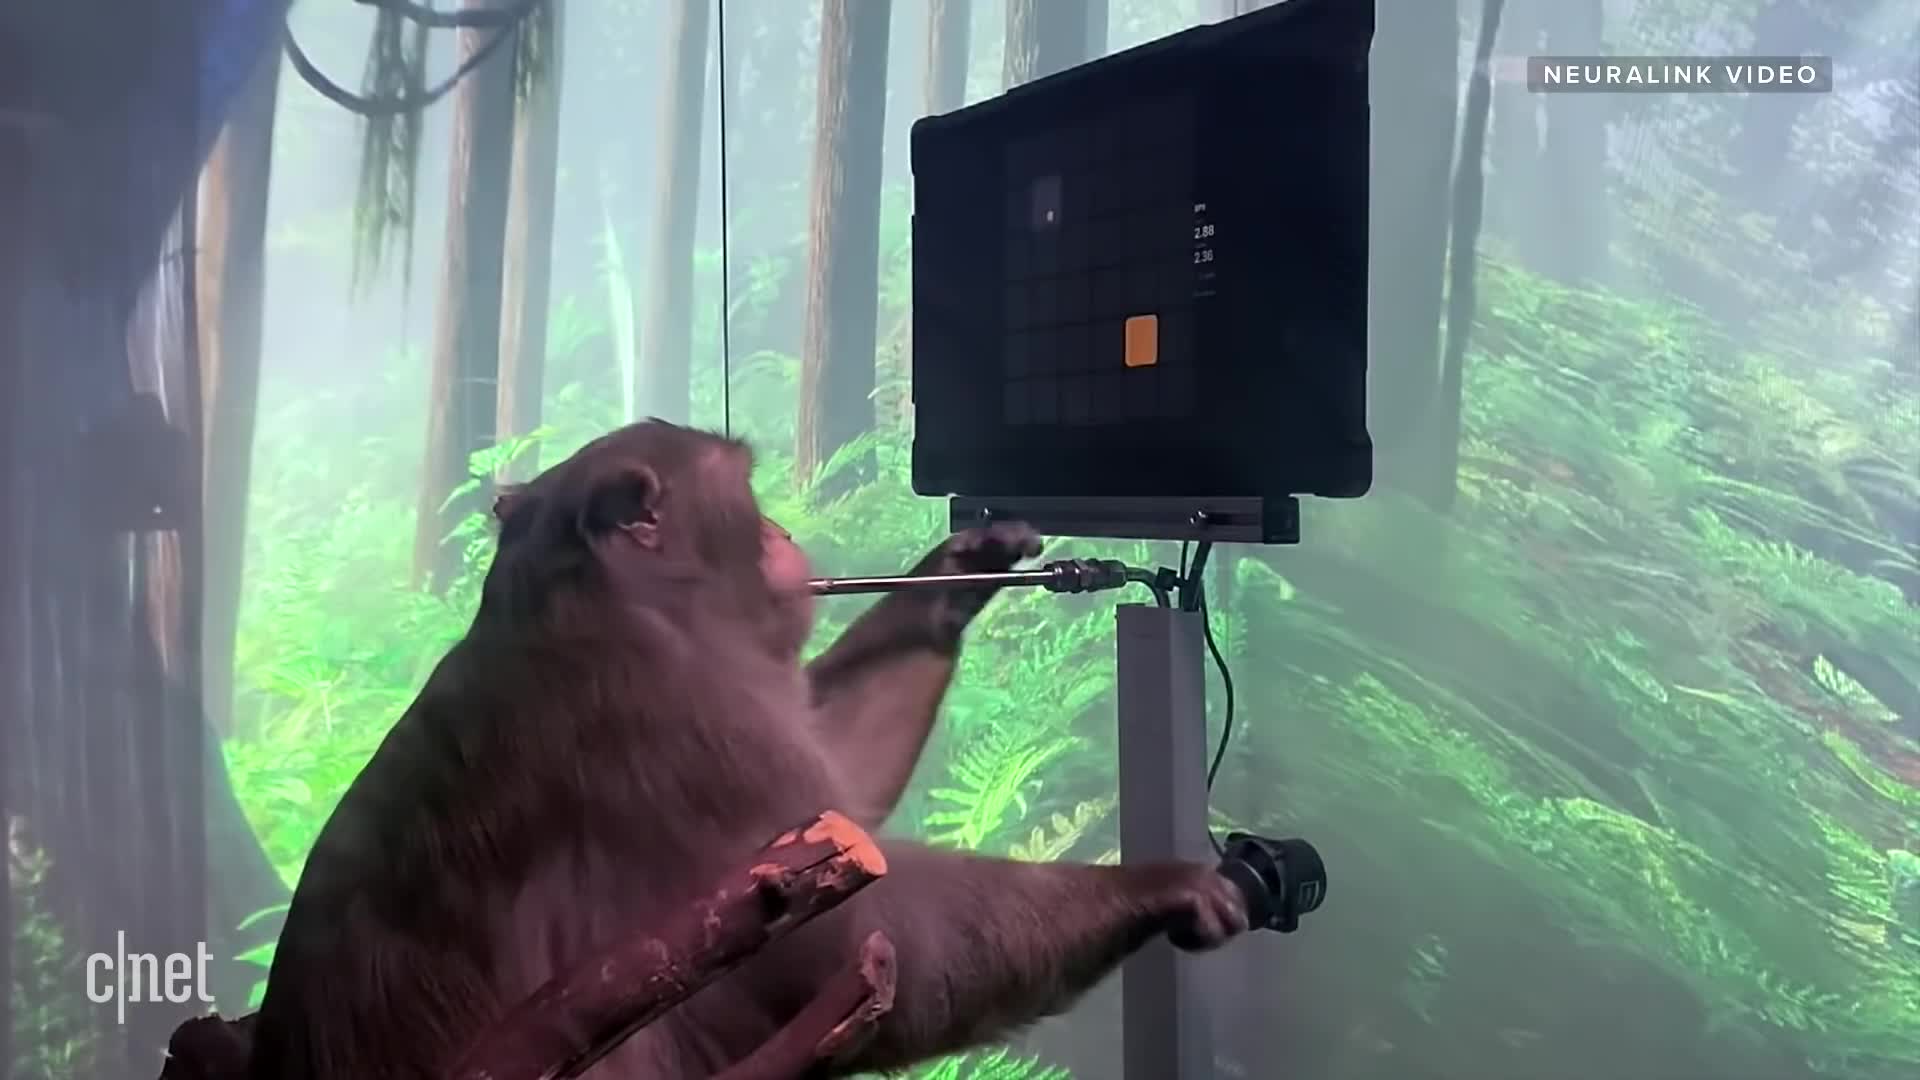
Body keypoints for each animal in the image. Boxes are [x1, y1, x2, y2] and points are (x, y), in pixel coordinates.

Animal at [245, 419, 1251, 1079]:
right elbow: (870, 938)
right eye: (747, 493)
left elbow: (841, 796)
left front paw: (956, 574)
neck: (611, 604)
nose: (783, 531)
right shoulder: (679, 724)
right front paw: (1157, 885)